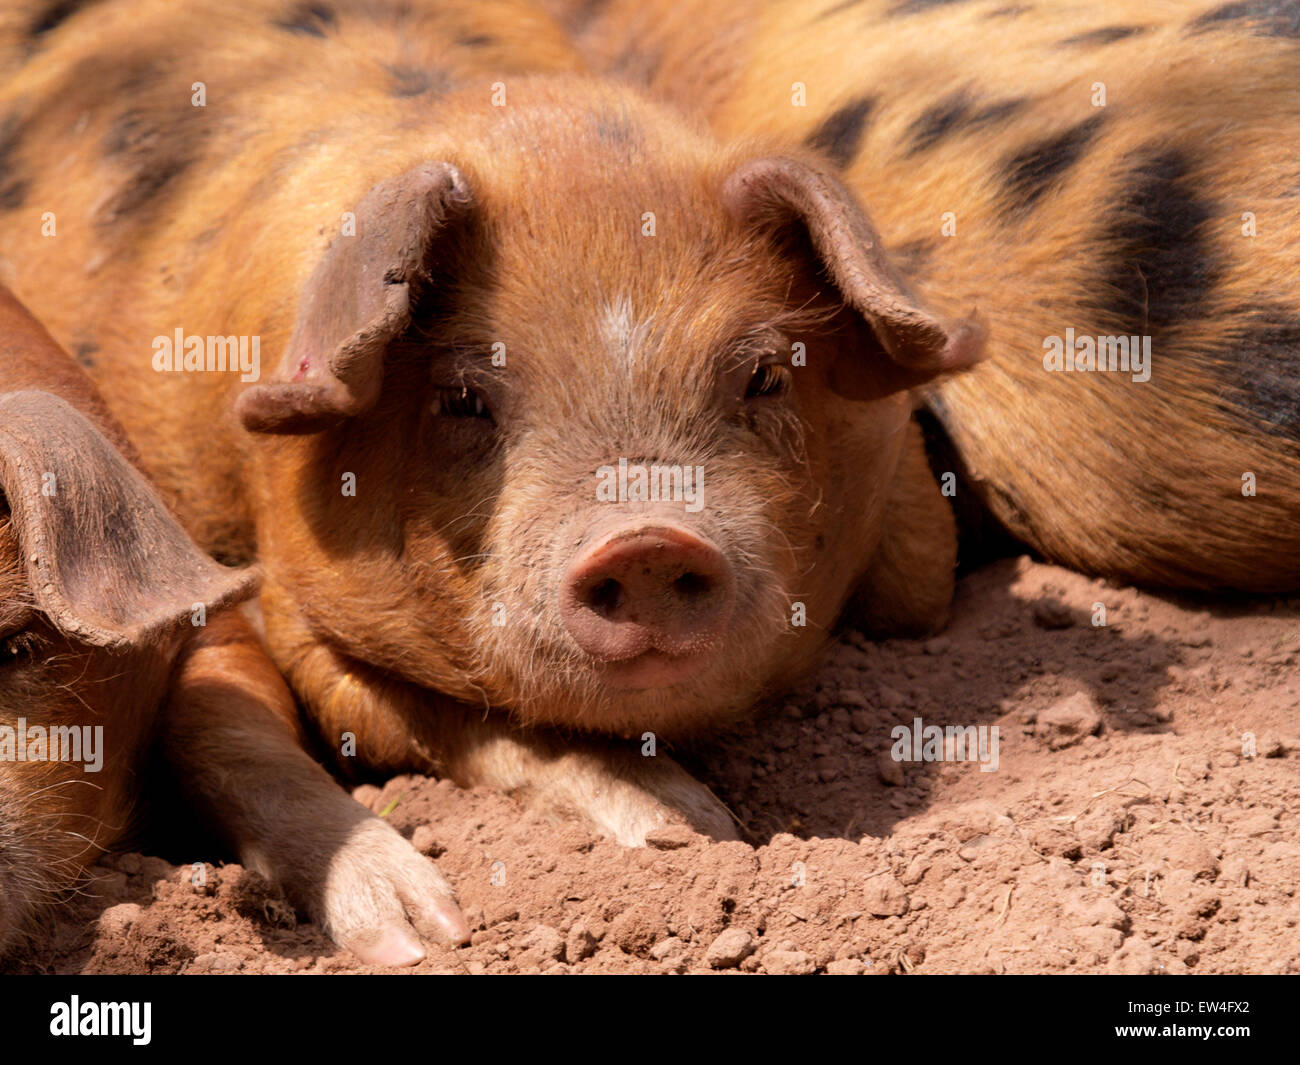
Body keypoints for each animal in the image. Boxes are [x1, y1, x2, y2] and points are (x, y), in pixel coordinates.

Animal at [0, 0, 982, 879]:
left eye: (766, 375)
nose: (648, 537)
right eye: (465, 396)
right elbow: (452, 725)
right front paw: (690, 824)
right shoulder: (287, 605)